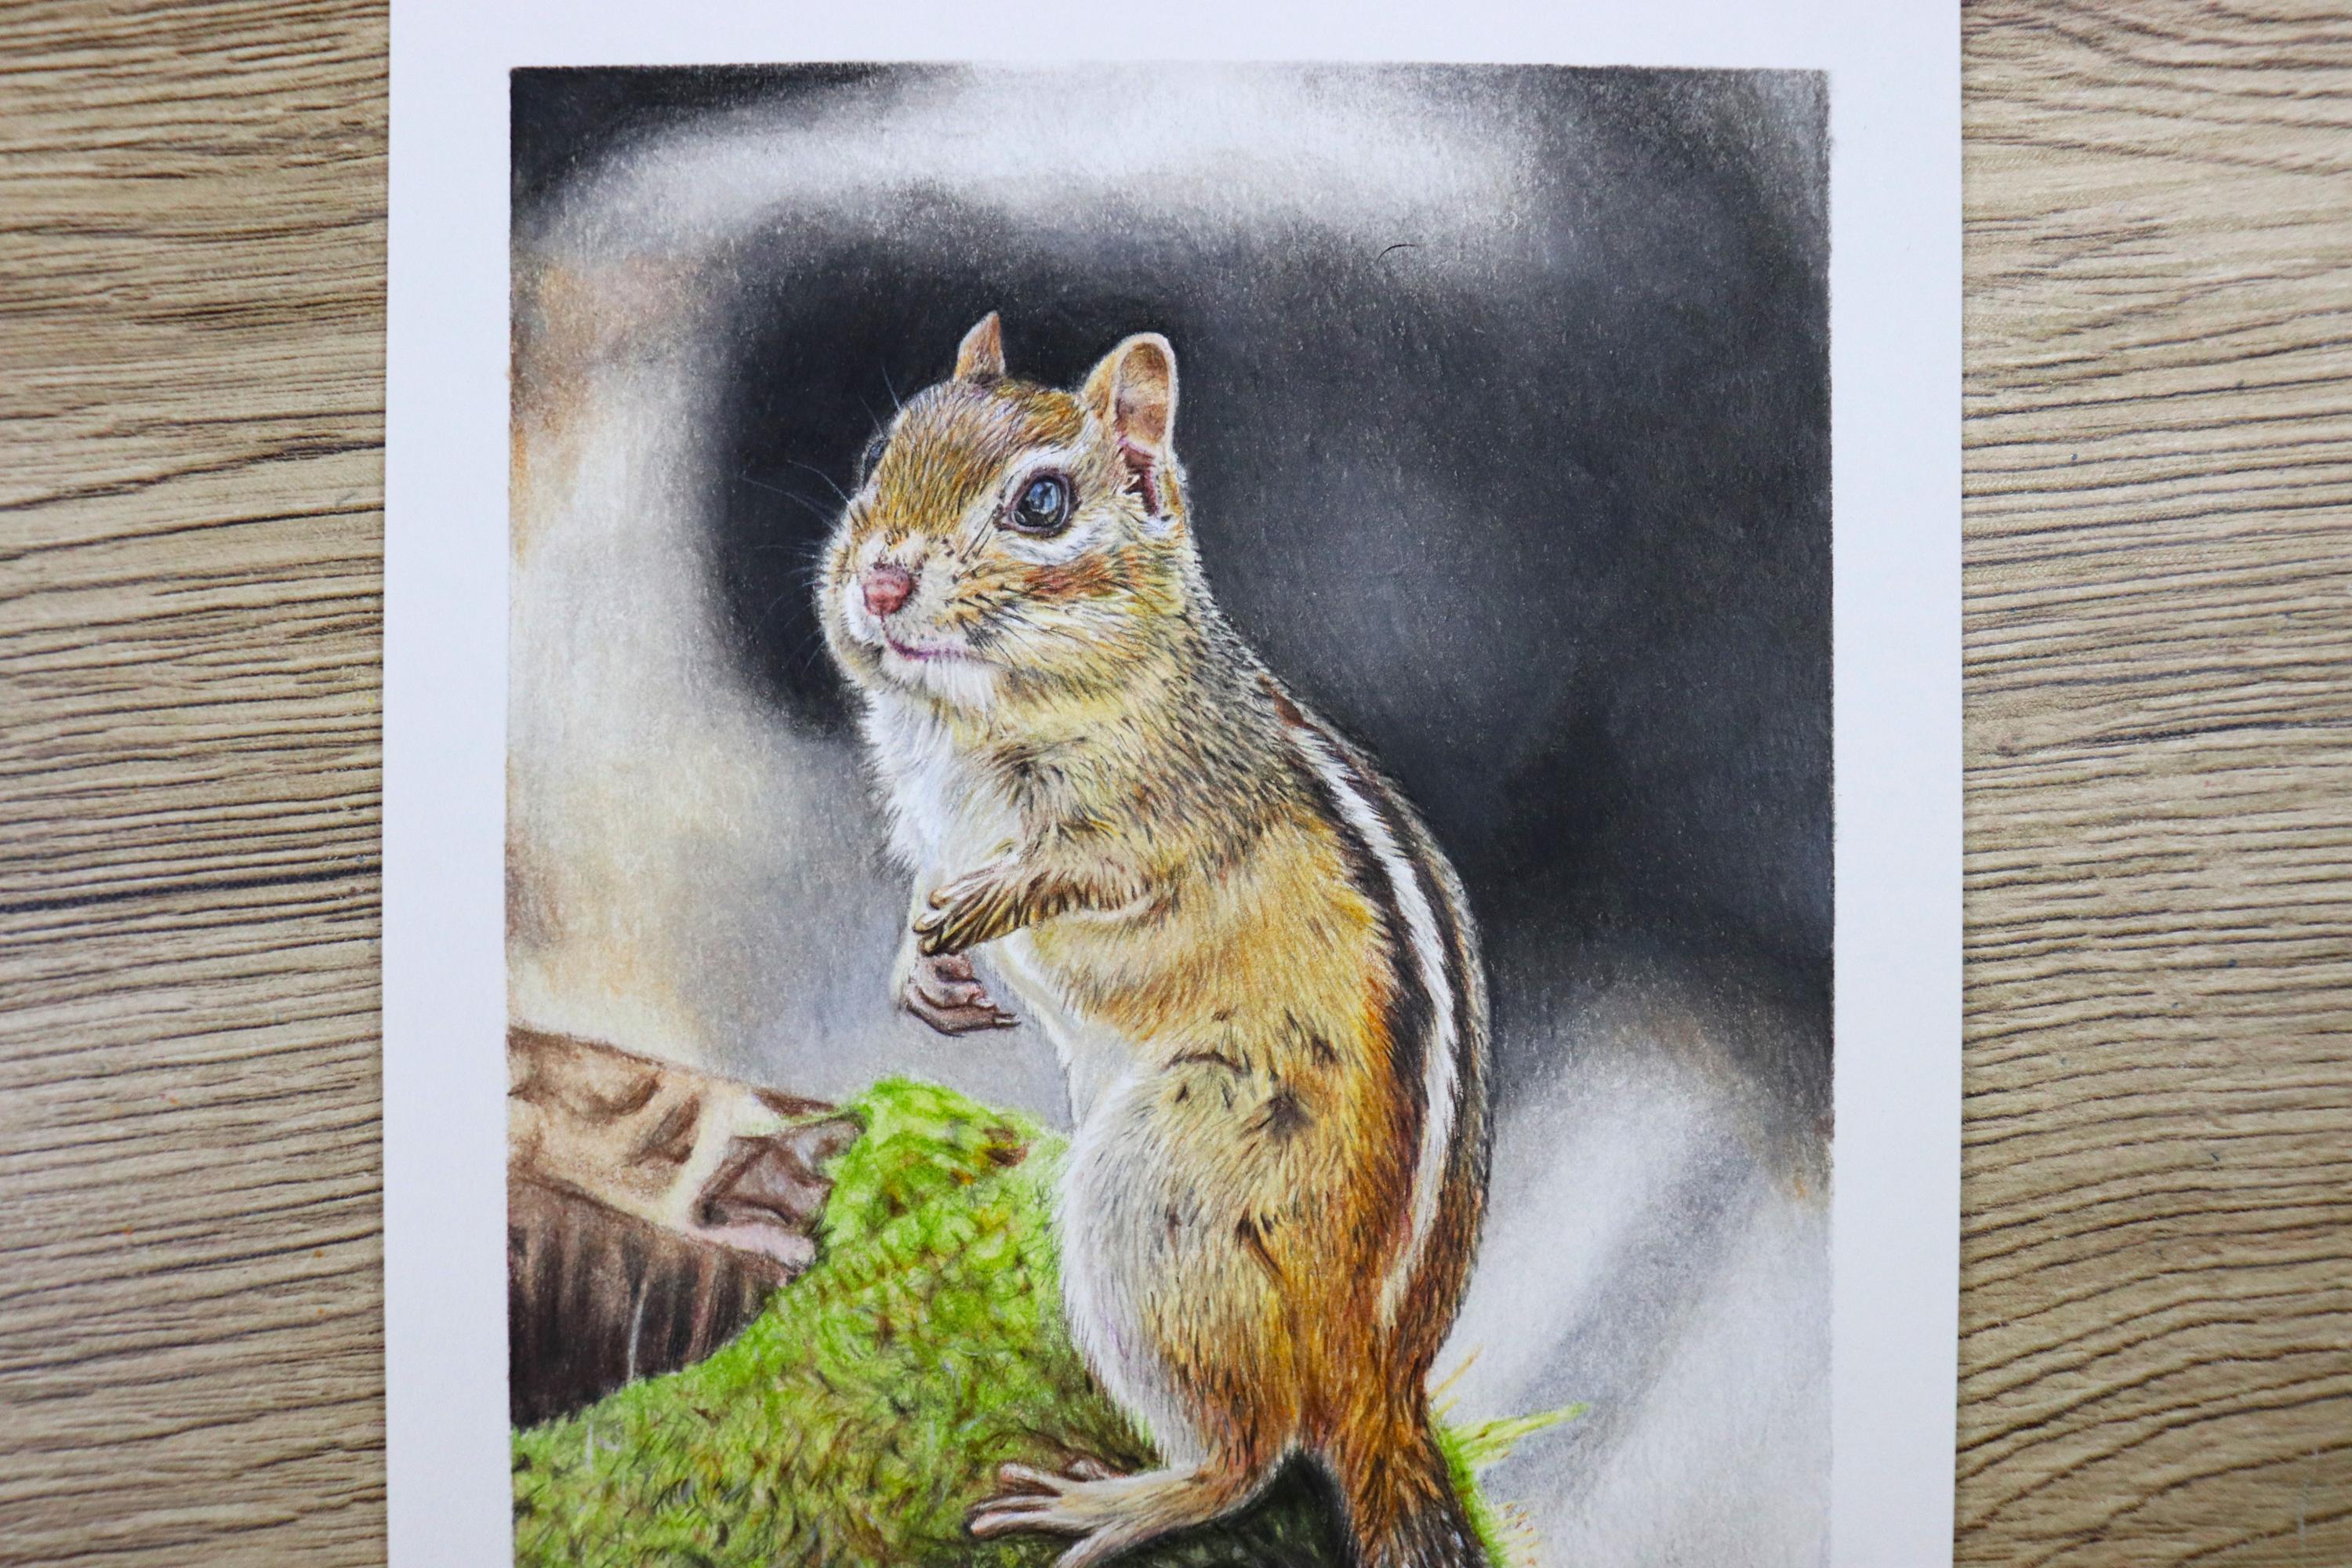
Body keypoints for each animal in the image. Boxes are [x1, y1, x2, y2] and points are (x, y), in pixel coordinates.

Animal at [818, 312, 1492, 1568]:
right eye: (882, 449)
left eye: (1041, 504)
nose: (878, 580)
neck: (968, 713)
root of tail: (1381, 1380)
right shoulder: (929, 821)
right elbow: (927, 881)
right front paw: (922, 967)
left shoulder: (1169, 810)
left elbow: (1095, 869)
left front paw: (987, 904)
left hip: (1162, 1195)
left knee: (1250, 1456)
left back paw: (1108, 1505)